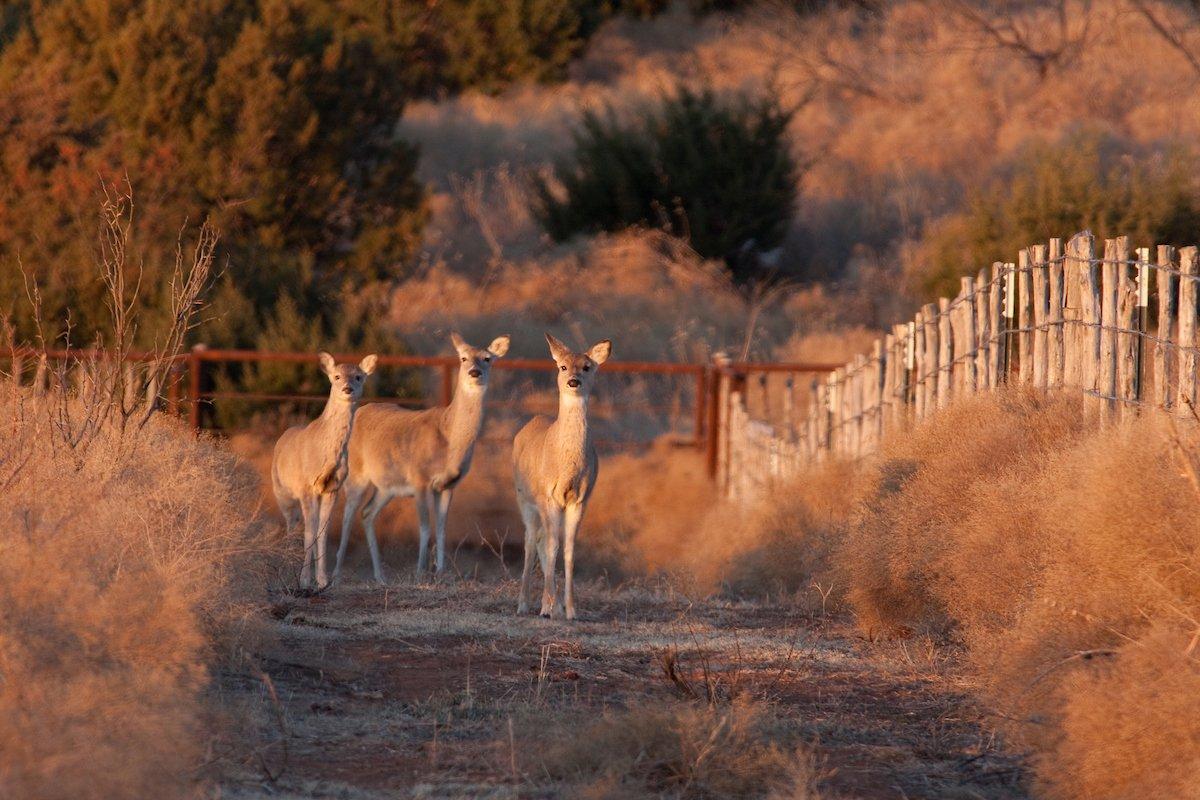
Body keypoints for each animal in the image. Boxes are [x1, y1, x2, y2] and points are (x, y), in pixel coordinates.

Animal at [274, 352, 376, 592]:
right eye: (336, 376)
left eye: (358, 376)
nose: (347, 389)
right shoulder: (306, 486)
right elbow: (310, 531)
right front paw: (304, 580)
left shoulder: (332, 488)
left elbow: (323, 530)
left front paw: (322, 580)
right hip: (281, 492)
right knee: (291, 526)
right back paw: (285, 569)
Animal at [333, 331, 511, 582]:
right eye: (463, 358)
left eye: (487, 358)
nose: (474, 372)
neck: (448, 439)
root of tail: (357, 413)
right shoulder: (419, 479)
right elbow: (425, 526)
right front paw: (420, 572)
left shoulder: (447, 485)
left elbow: (442, 527)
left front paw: (441, 571)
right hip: (356, 474)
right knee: (348, 515)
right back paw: (336, 574)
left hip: (386, 486)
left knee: (367, 513)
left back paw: (380, 576)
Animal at [513, 331, 609, 618]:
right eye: (563, 366)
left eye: (587, 367)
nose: (573, 382)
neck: (567, 466)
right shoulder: (550, 497)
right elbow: (553, 546)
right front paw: (550, 608)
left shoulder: (580, 499)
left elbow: (568, 549)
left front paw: (571, 609)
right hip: (525, 499)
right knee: (531, 541)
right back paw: (524, 604)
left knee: (541, 541)